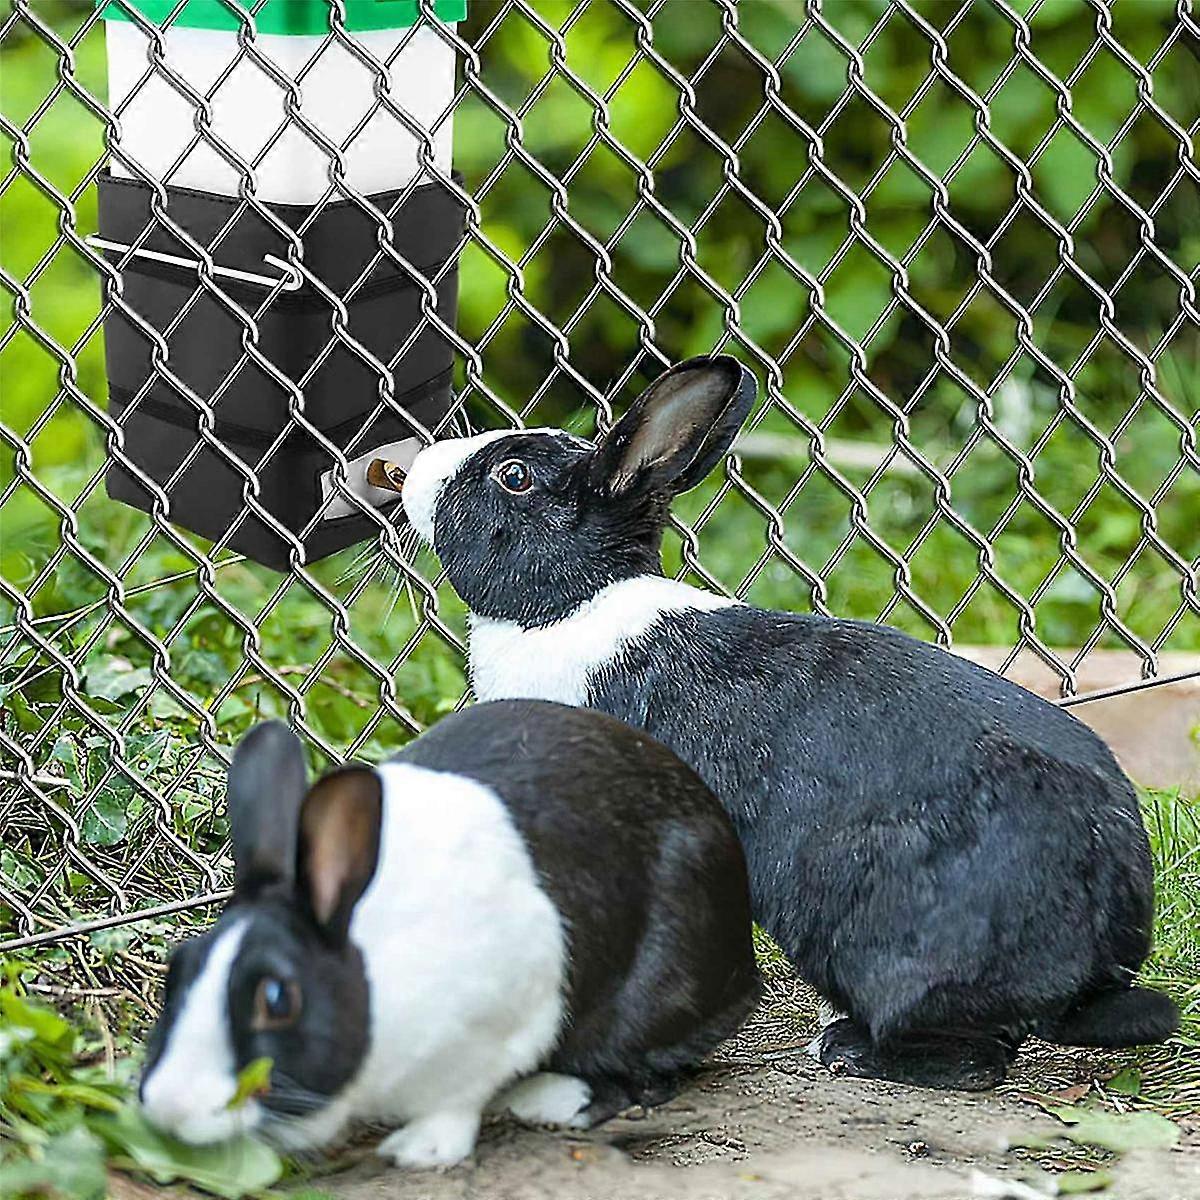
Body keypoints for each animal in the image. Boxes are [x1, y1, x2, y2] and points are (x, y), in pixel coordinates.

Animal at [139, 701, 761, 1168]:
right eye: (178, 968)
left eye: (277, 999)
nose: (169, 1106)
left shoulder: (507, 1011)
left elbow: (459, 1095)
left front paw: (421, 1150)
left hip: (663, 980)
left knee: (650, 1068)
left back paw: (551, 1099)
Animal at [400, 353, 1178, 1091]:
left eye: (514, 476)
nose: (413, 474)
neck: (568, 605)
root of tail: (1103, 940)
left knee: (973, 1053)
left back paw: (848, 1051)